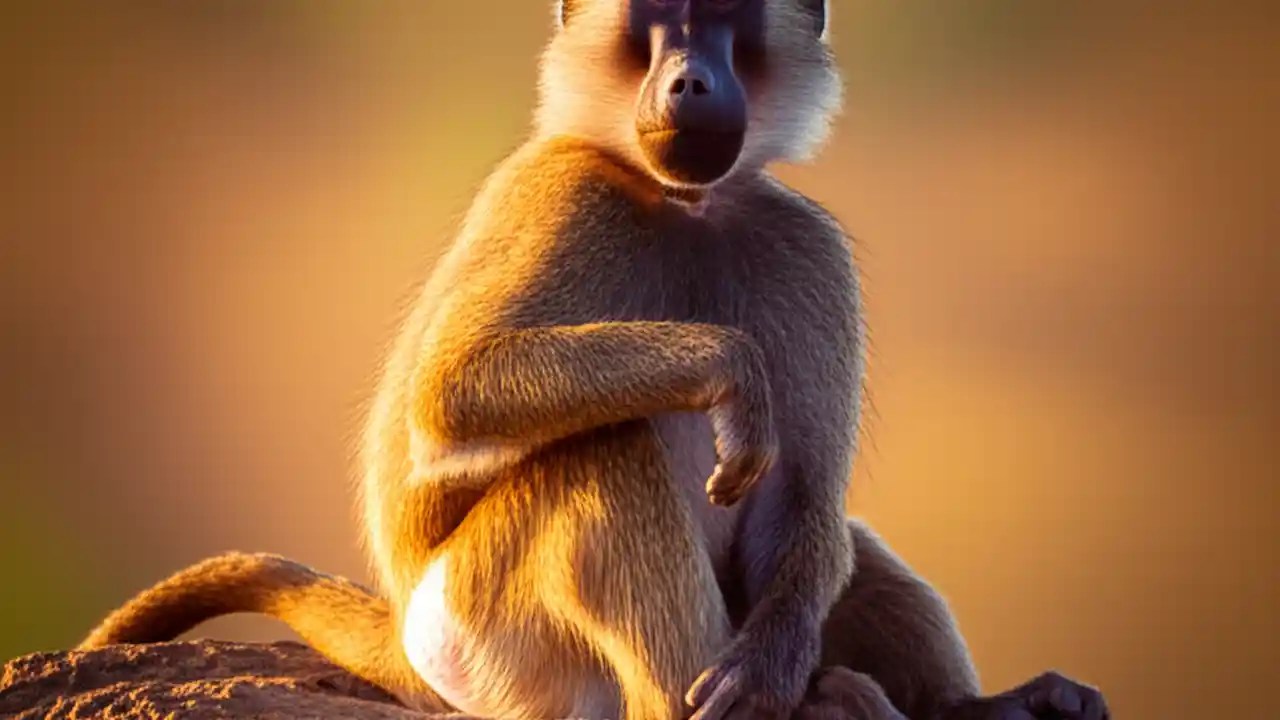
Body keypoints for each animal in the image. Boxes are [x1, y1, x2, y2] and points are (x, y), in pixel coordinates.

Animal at [80, 2, 1109, 720]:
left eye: (729, 28)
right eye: (657, 31)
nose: (690, 82)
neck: (686, 204)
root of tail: (408, 643)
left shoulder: (809, 252)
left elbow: (805, 493)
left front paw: (782, 664)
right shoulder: (563, 192)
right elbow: (450, 393)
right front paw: (730, 370)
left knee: (833, 537)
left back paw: (971, 705)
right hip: (491, 643)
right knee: (604, 458)